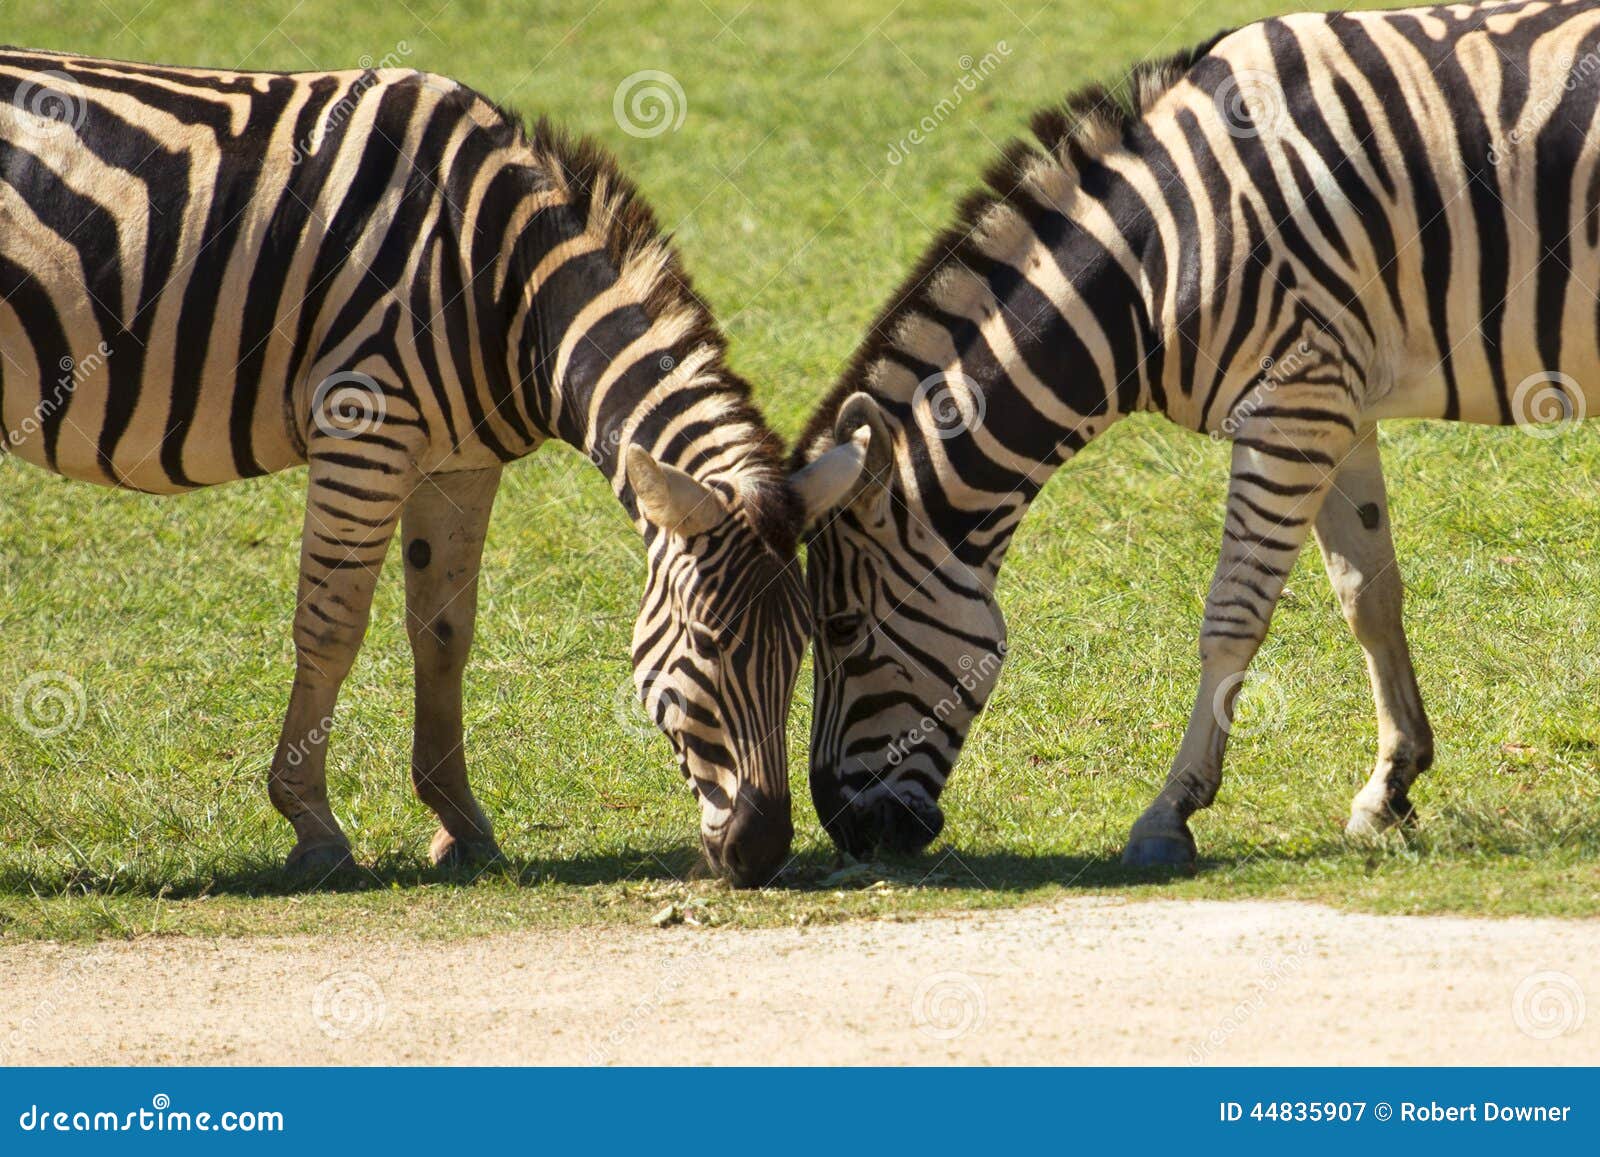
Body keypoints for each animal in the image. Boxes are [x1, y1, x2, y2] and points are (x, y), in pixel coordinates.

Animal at [0, 47, 812, 885]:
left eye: (806, 651)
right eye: (709, 644)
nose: (764, 848)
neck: (506, 283)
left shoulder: (455, 463)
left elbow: (445, 630)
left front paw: (460, 822)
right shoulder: (365, 425)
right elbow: (331, 626)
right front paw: (312, 824)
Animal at [788, 0, 1600, 866]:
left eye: (840, 628)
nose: (847, 831)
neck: (1149, 261)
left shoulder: (1291, 401)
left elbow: (1231, 618)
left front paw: (1169, 811)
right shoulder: (1340, 403)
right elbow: (1368, 595)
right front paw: (1390, 786)